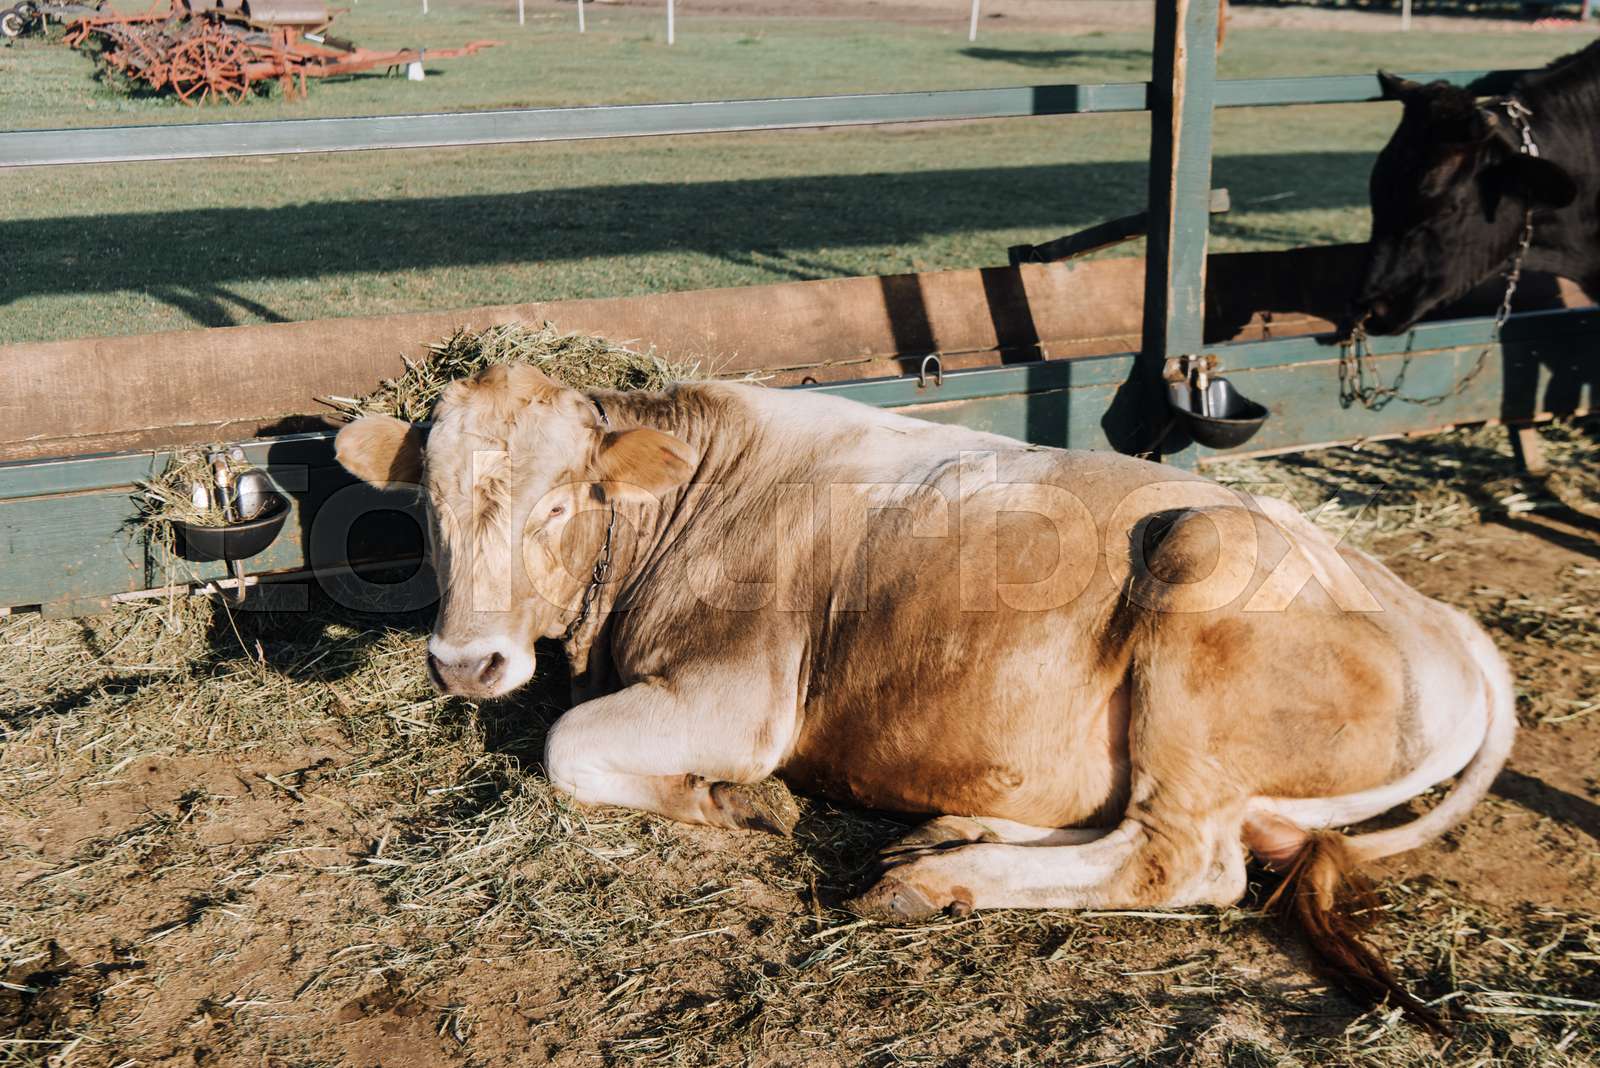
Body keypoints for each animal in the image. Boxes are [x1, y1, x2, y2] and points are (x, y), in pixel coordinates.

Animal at [337, 366, 1515, 1025]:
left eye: (561, 501)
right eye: (429, 503)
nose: (465, 663)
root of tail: (1440, 617)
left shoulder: (739, 695)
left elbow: (569, 745)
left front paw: (742, 804)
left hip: (1203, 570)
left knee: (1183, 860)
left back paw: (932, 879)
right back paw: (943, 835)